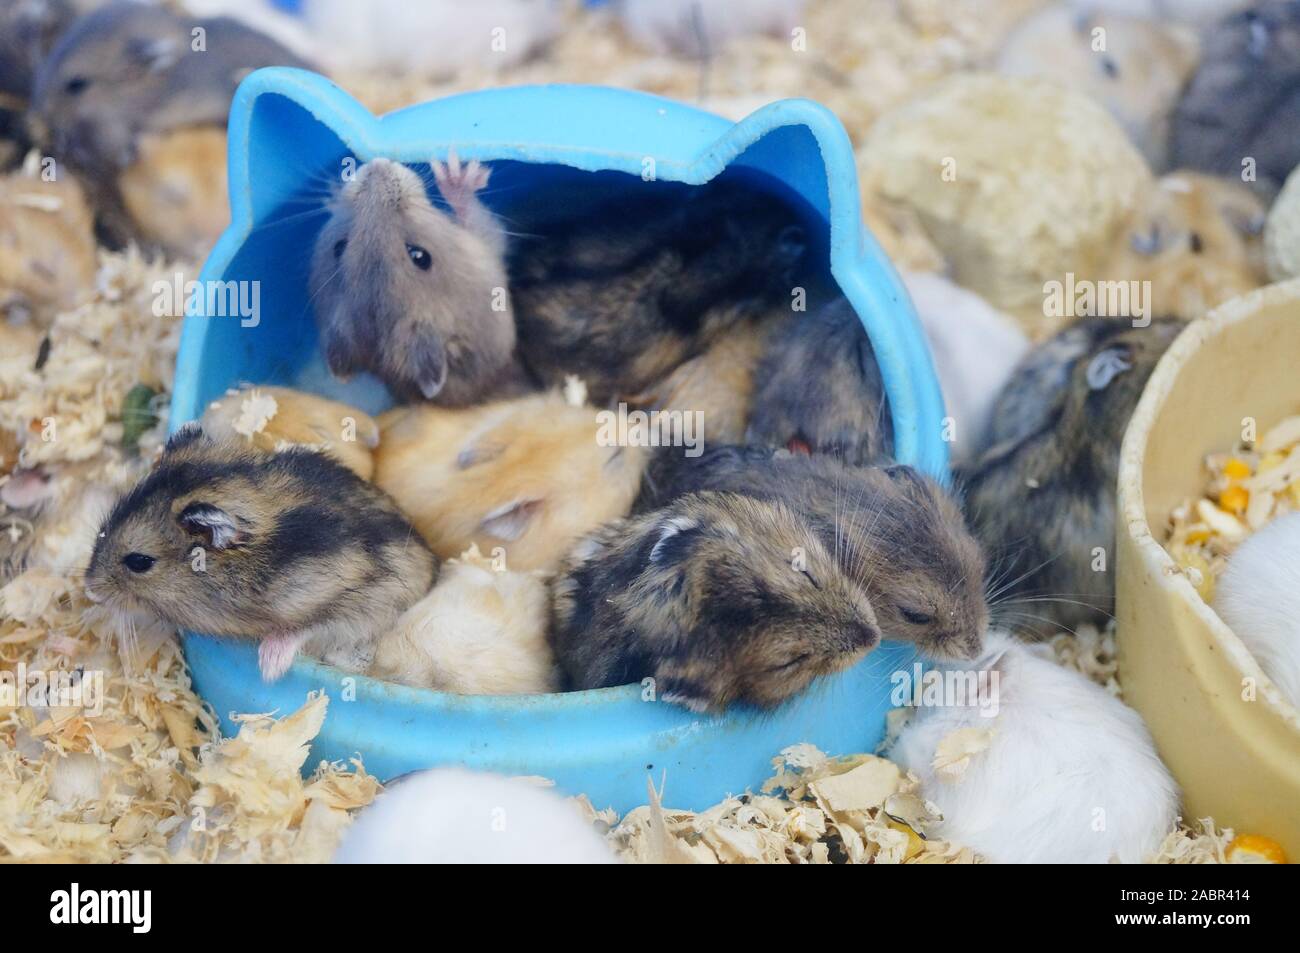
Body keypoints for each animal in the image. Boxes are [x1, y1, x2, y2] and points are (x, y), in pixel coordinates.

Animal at [309, 154, 526, 406]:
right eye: (420, 257)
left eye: (339, 247)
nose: (377, 165)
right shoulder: (487, 251)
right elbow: (481, 220)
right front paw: (457, 173)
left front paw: (331, 193)